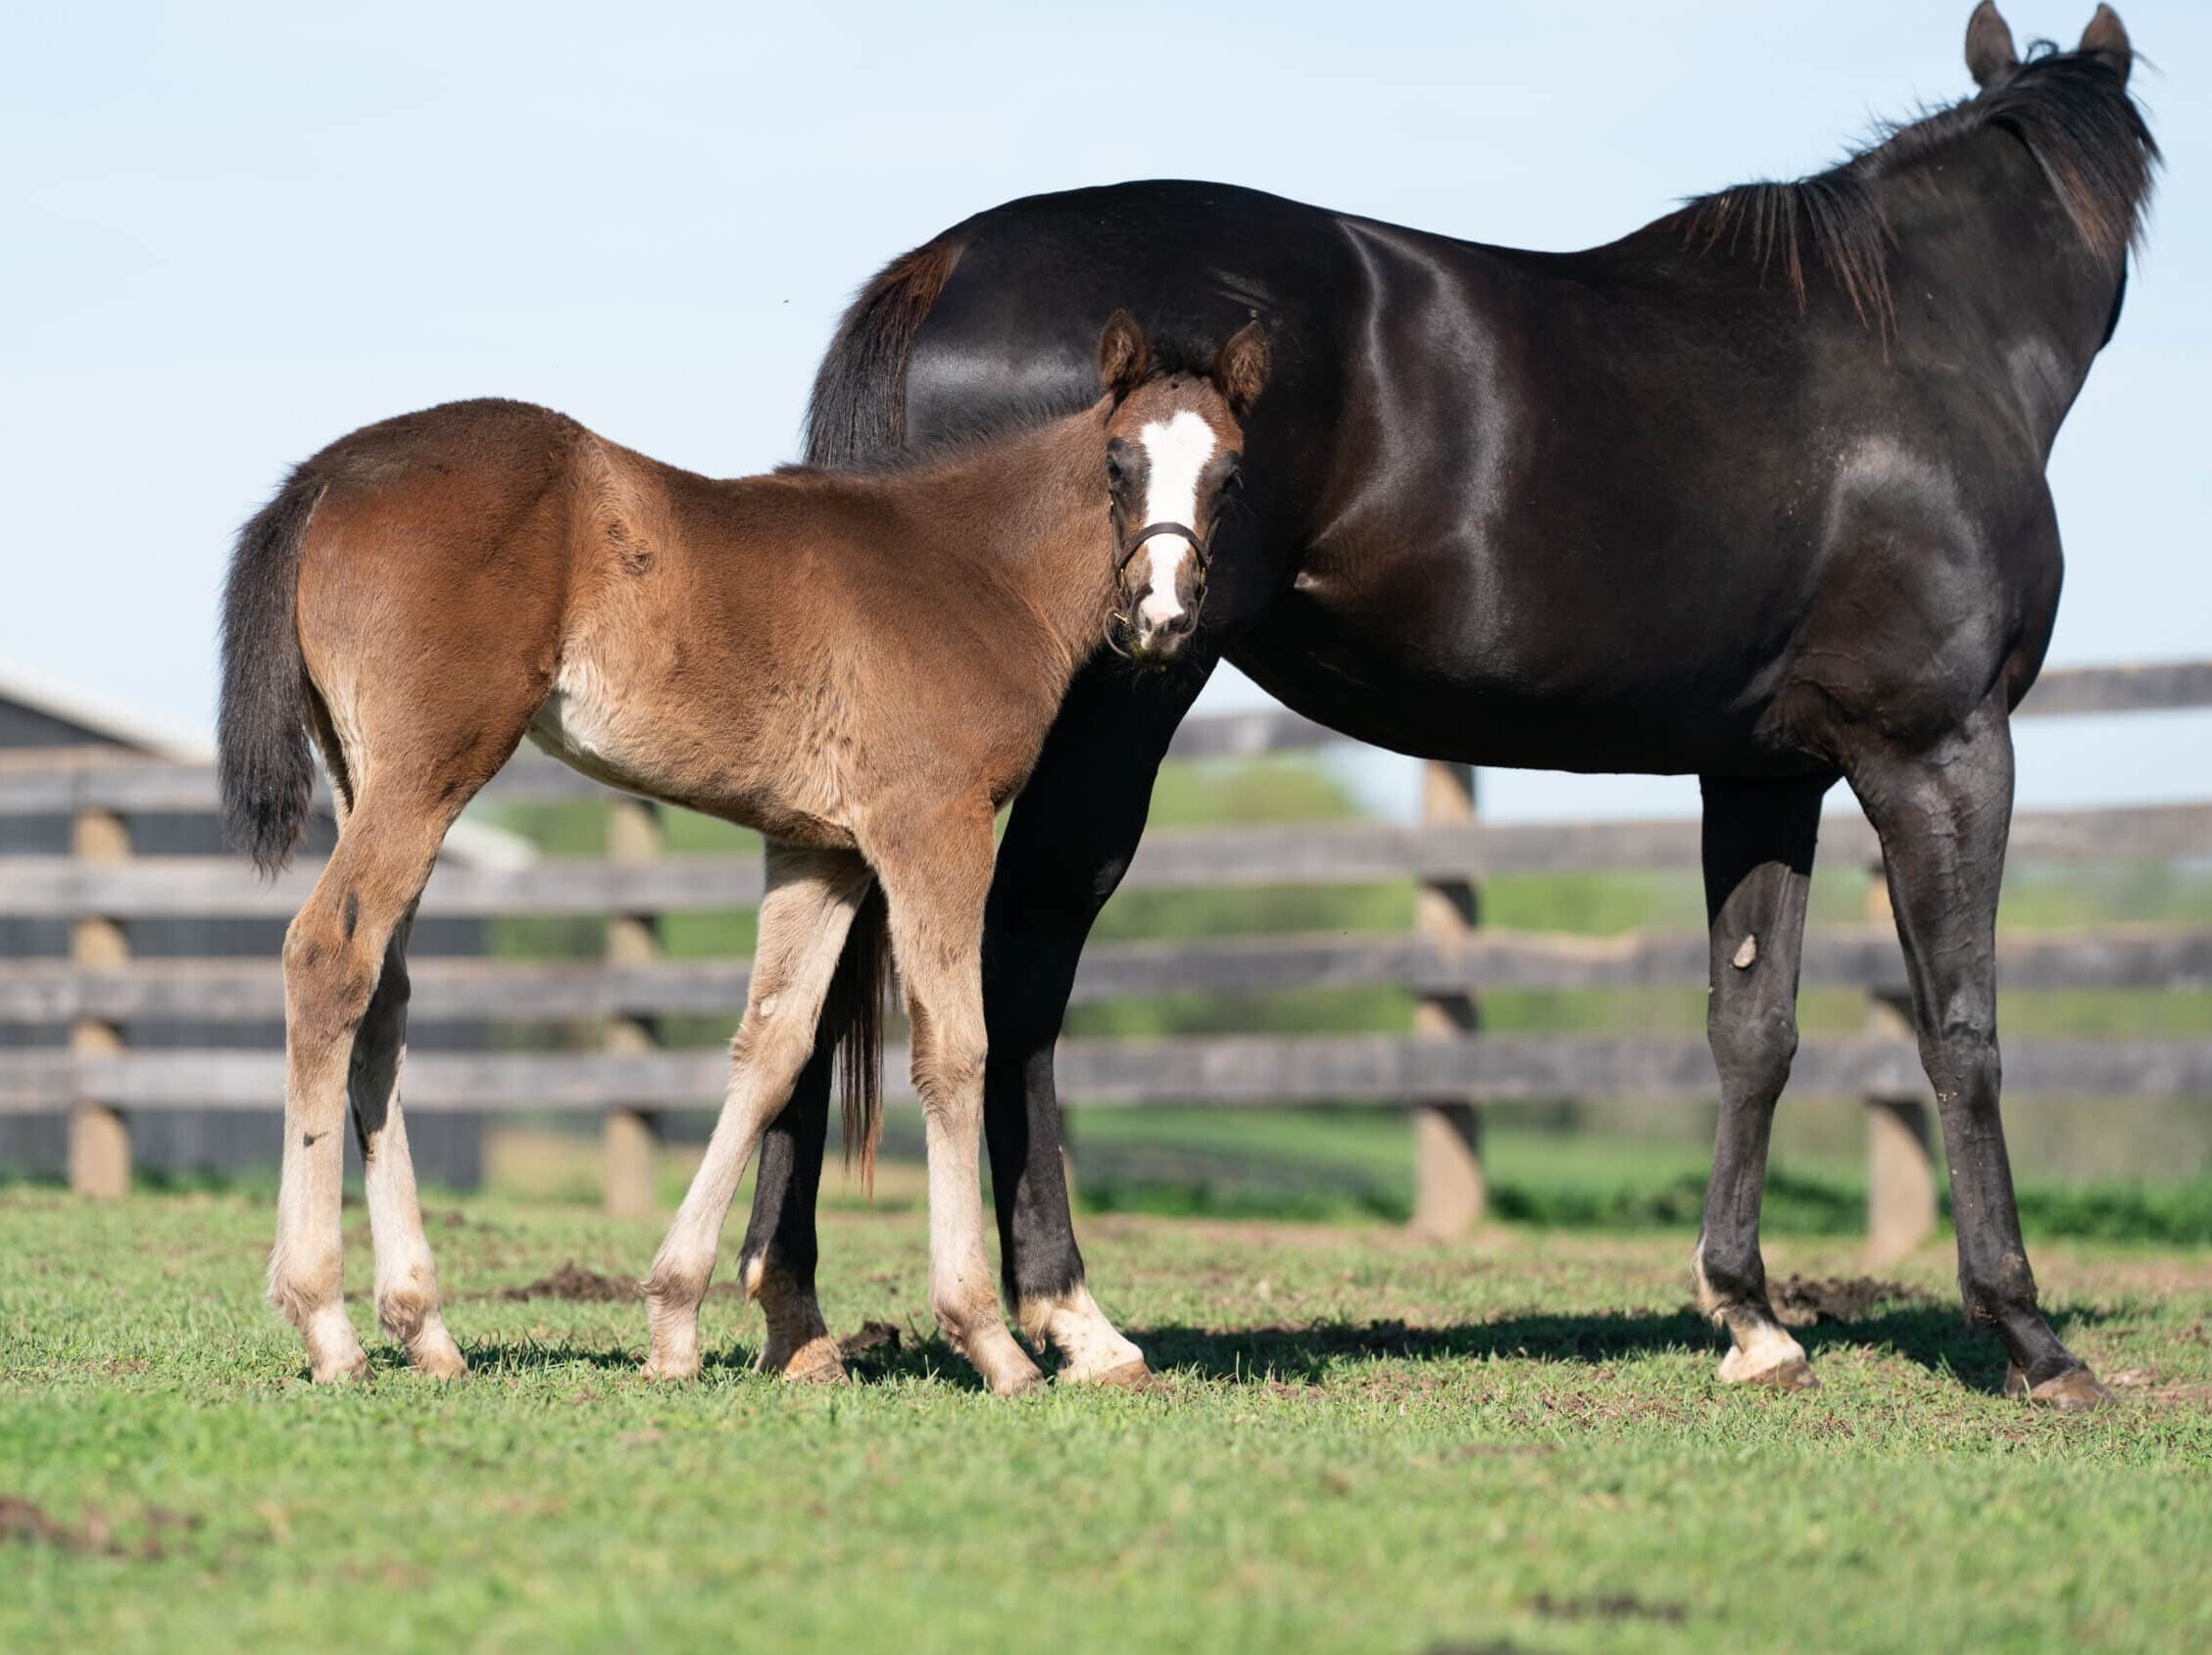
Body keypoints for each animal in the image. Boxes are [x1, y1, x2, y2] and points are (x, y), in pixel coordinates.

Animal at [216, 312, 1269, 1389]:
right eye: (1117, 461)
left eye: (1229, 473)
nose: (1162, 618)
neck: (974, 569)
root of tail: (326, 475)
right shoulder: (932, 824)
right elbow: (954, 1048)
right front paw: (988, 1336)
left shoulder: (823, 851)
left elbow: (772, 1048)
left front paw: (675, 1321)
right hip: (428, 770)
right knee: (327, 957)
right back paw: (326, 1321)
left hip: (372, 776)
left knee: (382, 995)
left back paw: (423, 1325)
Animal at [740, 4, 2156, 1408]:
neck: (1922, 343)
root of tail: (949, 262)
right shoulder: (1939, 748)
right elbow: (1962, 1026)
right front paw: (2029, 1337)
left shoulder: (1764, 773)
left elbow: (1752, 1028)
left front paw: (1750, 1317)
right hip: (1117, 698)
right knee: (1021, 958)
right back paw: (1072, 1319)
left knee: (821, 956)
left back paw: (792, 1309)